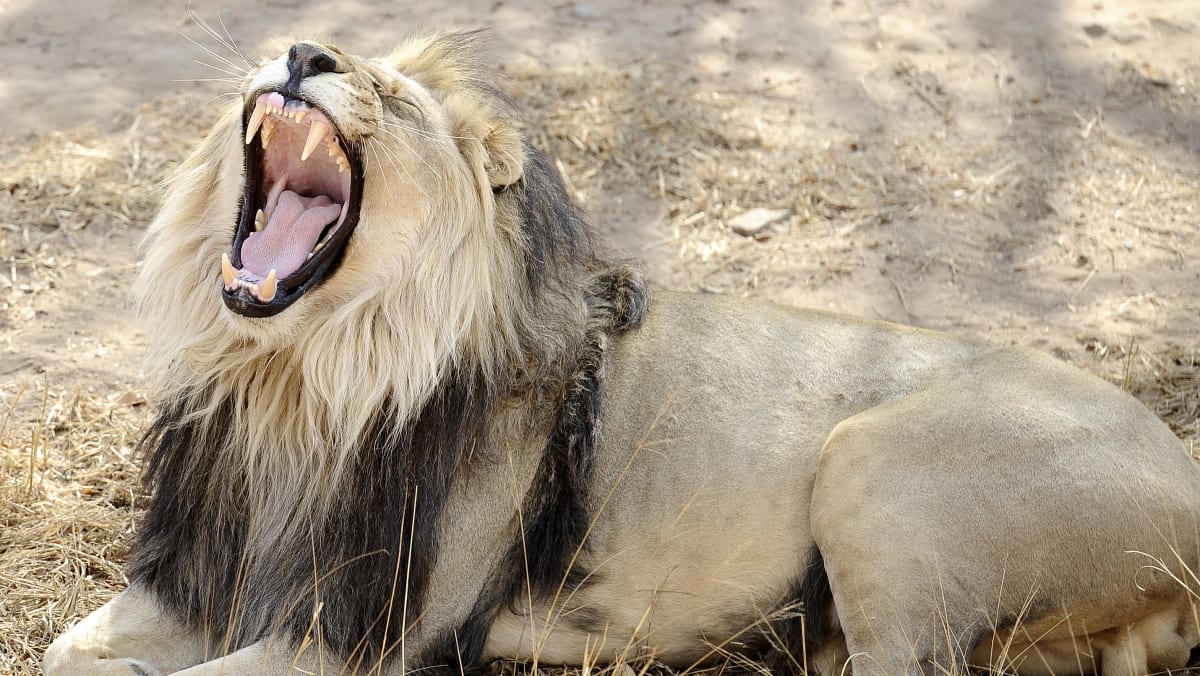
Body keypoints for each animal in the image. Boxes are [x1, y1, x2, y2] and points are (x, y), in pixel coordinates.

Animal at [44, 31, 1200, 676]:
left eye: (401, 99)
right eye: (300, 41)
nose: (300, 57)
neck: (296, 379)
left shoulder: (367, 635)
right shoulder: (208, 575)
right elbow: (65, 651)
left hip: (871, 465)